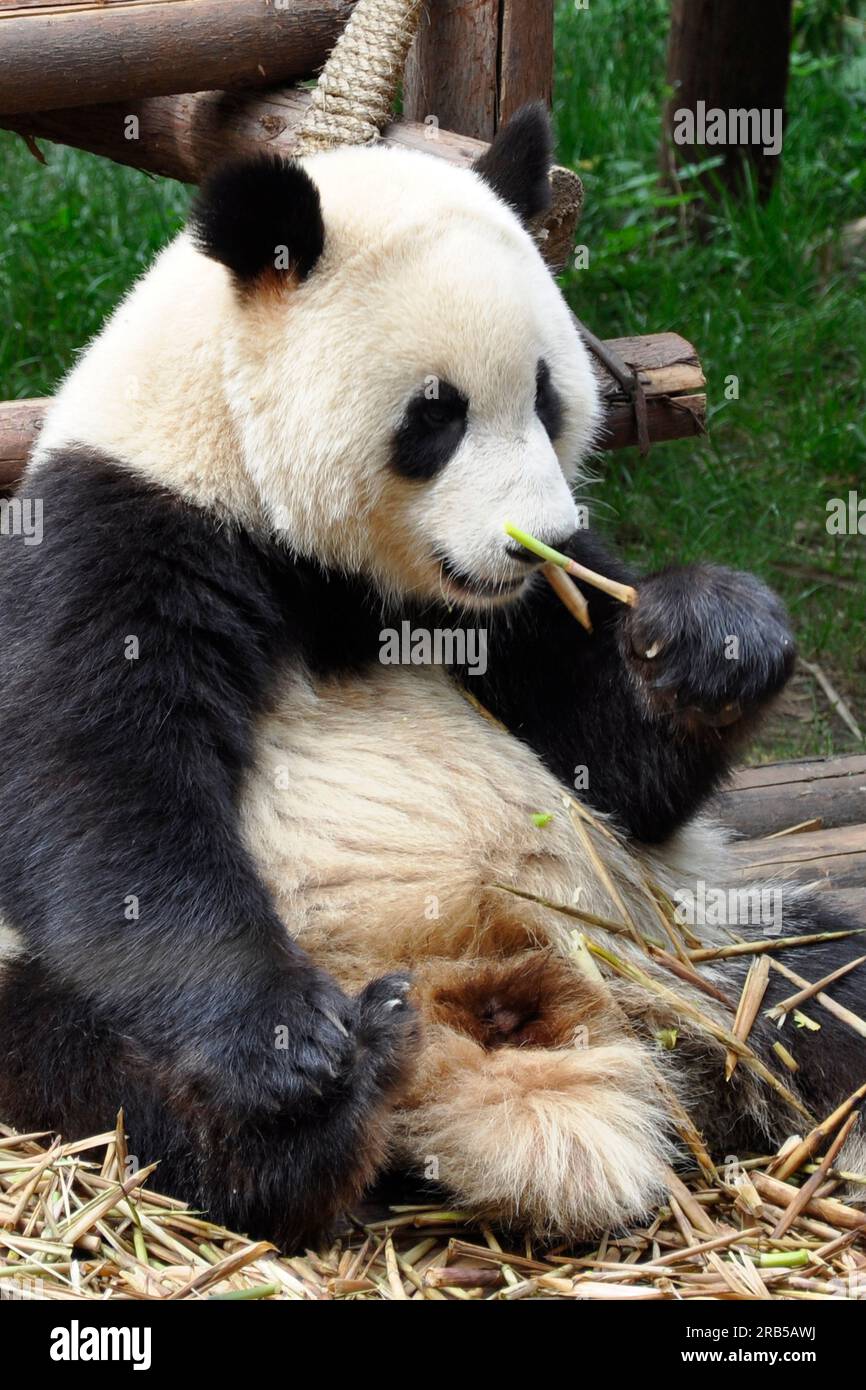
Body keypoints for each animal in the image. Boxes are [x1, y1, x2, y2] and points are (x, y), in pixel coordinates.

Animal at [0, 105, 863, 1251]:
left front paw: (710, 635)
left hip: (675, 939)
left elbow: (610, 767)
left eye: (547, 396)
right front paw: (283, 1046)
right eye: (435, 414)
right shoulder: (119, 529)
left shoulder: (508, 615)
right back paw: (327, 1111)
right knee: (95, 1062)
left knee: (817, 976)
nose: (537, 538)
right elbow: (101, 796)